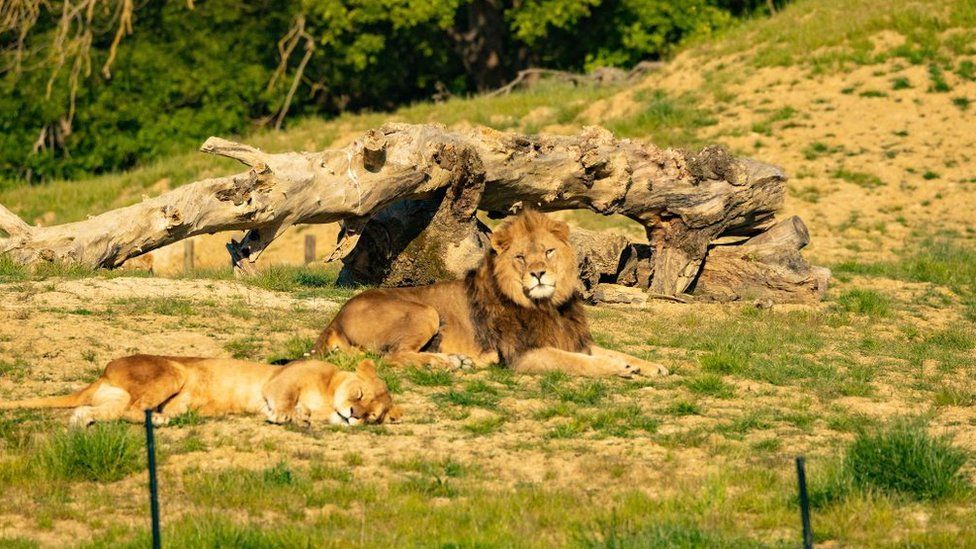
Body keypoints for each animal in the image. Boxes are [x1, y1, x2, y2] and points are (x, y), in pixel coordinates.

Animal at [311, 209, 669, 378]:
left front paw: (651, 366)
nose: (538, 273)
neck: (549, 306)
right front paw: (619, 369)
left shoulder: (573, 339)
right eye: (521, 257)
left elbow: (614, 351)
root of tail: (335, 318)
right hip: (425, 312)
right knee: (392, 356)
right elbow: (579, 362)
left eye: (549, 251)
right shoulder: (523, 354)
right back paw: (446, 362)